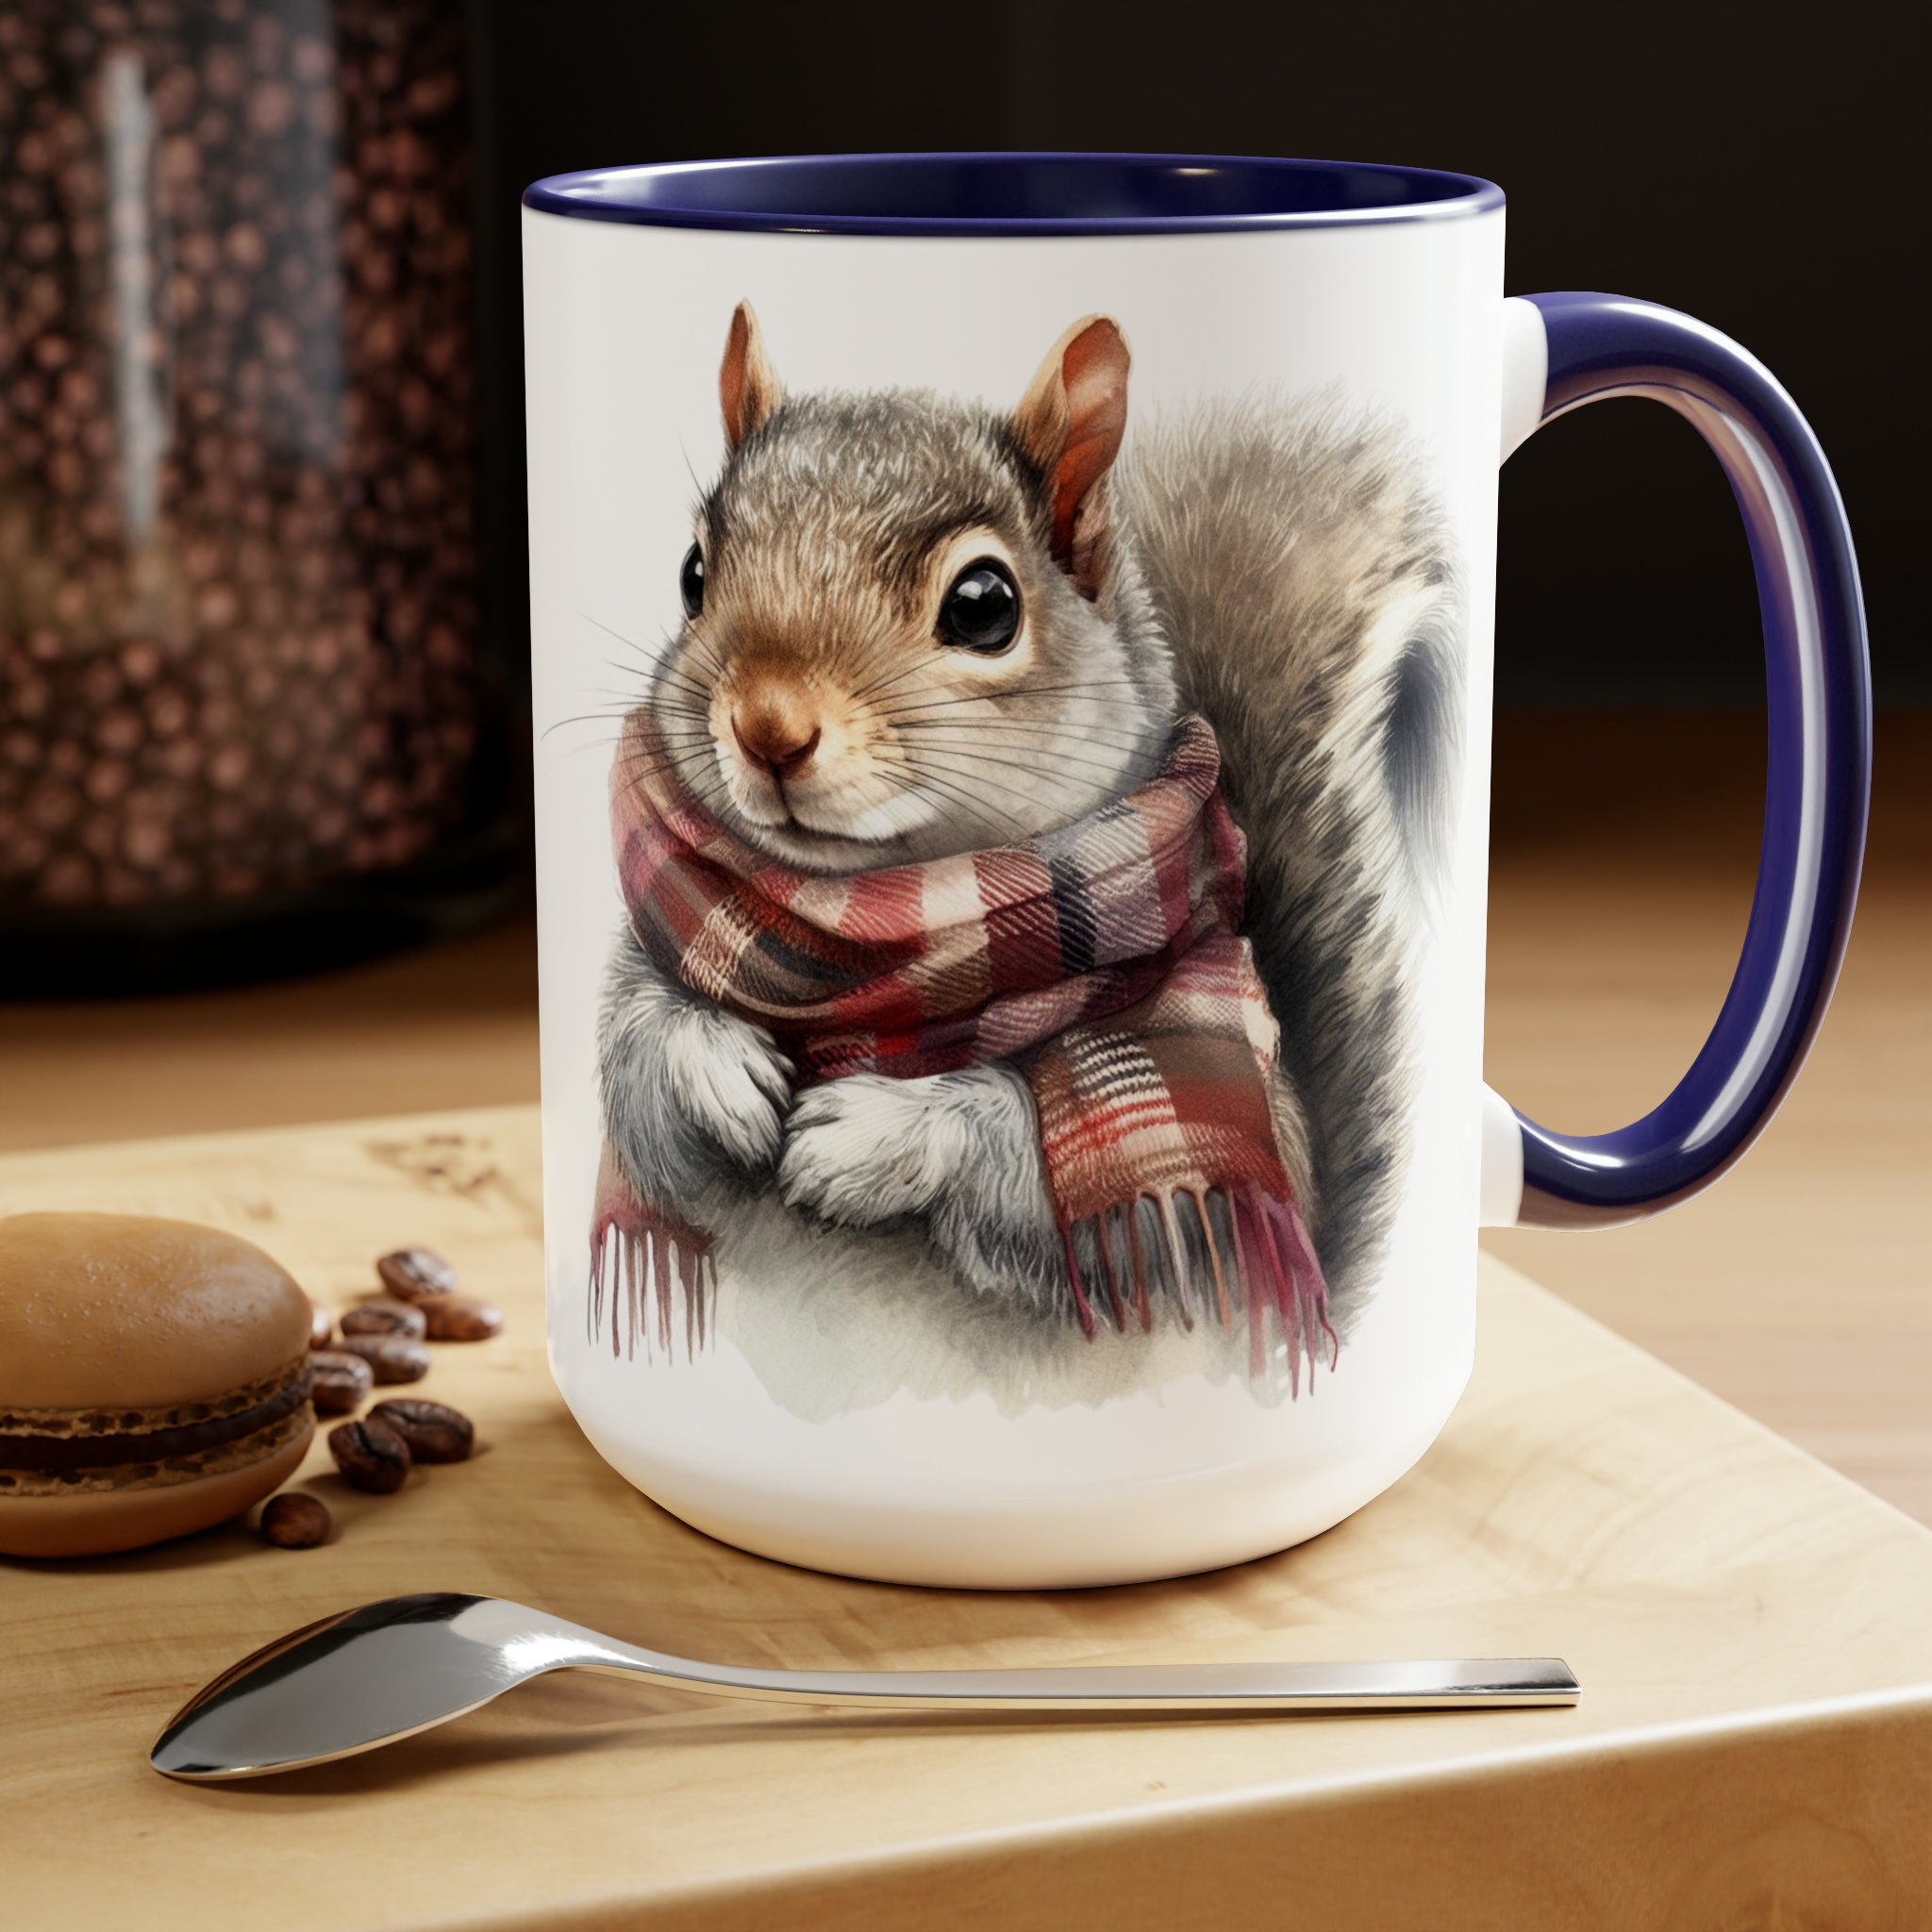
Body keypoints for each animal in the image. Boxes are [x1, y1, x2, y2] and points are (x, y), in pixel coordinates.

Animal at [596, 302, 1461, 1342]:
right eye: (692, 574)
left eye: (983, 605)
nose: (768, 725)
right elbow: (637, 1050)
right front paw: (711, 1062)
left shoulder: (1229, 1164)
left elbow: (1127, 1215)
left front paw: (881, 1131)